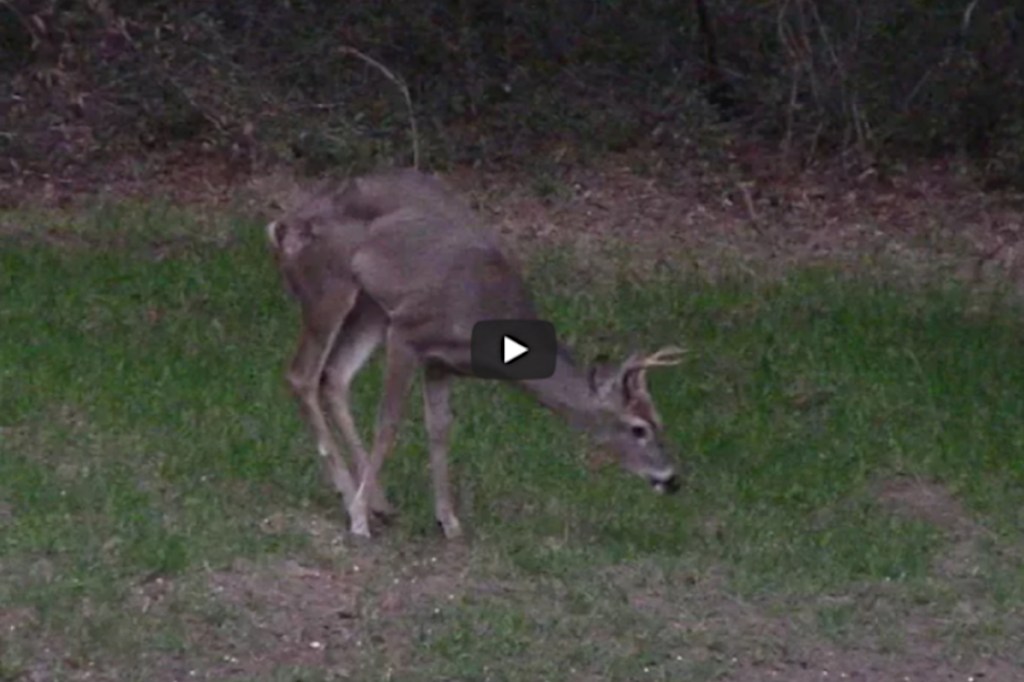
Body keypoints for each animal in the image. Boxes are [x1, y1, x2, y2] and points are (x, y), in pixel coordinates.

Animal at [266, 167, 685, 540]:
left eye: (661, 421)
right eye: (639, 429)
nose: (672, 479)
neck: (483, 314)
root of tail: (281, 225)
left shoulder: (438, 362)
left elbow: (439, 429)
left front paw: (449, 523)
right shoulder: (409, 332)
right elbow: (389, 424)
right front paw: (358, 522)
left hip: (372, 307)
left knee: (335, 376)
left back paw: (379, 503)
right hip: (330, 286)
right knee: (302, 374)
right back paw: (353, 498)